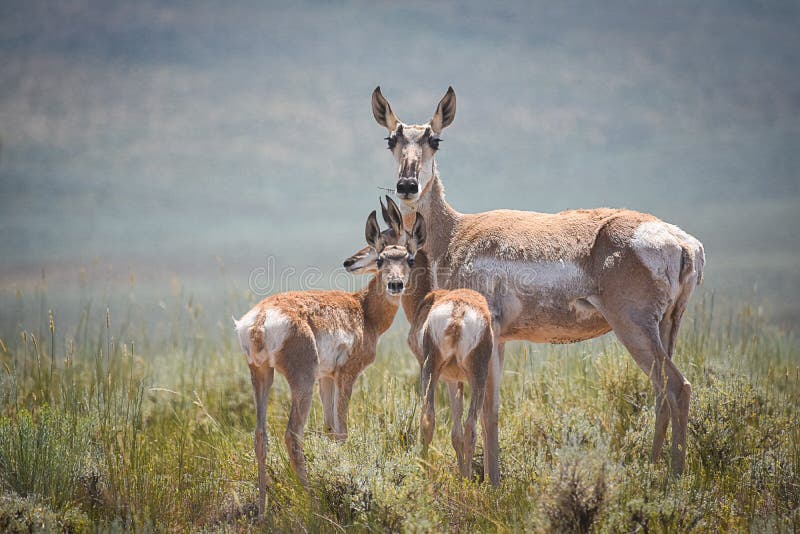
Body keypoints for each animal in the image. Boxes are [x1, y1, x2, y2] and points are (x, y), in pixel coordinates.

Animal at [233, 208, 423, 515]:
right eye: (381, 257)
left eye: (409, 258)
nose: (396, 284)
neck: (361, 309)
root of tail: (261, 319)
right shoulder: (346, 376)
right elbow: (342, 431)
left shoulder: (326, 378)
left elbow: (329, 429)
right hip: (302, 382)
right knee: (292, 435)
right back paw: (312, 501)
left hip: (261, 375)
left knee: (260, 435)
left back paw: (263, 510)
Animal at [345, 197, 498, 484]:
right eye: (382, 256)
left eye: (383, 239)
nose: (349, 262)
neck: (428, 298)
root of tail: (458, 311)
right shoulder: (456, 379)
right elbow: (457, 433)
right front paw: (463, 477)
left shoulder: (439, 374)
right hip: (478, 374)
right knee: (471, 425)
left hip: (430, 370)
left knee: (427, 419)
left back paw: (424, 476)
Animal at [366, 86, 706, 475]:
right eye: (392, 139)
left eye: (434, 139)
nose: (407, 185)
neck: (456, 232)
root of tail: (682, 242)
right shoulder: (498, 341)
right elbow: (492, 414)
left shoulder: (488, 337)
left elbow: (485, 413)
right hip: (665, 328)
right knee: (662, 394)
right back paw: (653, 469)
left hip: (633, 328)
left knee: (677, 388)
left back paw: (671, 479)